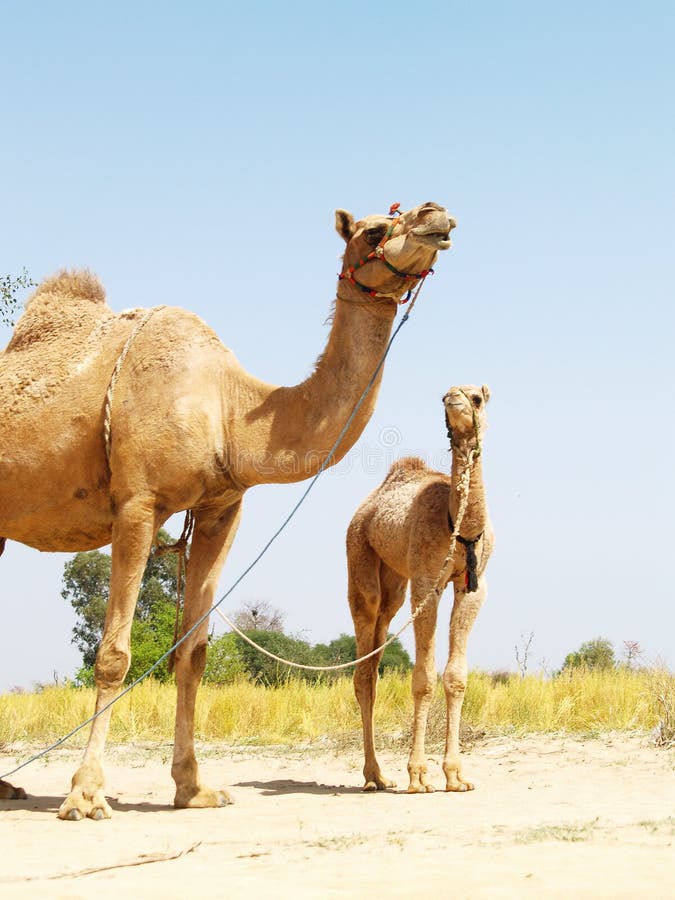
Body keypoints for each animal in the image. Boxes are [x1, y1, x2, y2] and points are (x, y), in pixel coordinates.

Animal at [0, 201, 455, 819]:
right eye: (374, 231)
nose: (438, 215)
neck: (228, 410)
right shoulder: (136, 504)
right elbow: (114, 654)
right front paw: (86, 794)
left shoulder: (221, 508)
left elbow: (192, 654)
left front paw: (193, 789)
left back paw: (6, 785)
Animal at [346, 384, 493, 793]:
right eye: (446, 396)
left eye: (477, 398)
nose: (454, 398)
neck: (460, 527)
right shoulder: (427, 584)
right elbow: (424, 679)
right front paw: (418, 775)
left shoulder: (473, 587)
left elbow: (456, 677)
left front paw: (456, 776)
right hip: (359, 559)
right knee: (363, 670)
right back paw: (374, 774)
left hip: (395, 584)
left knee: (375, 658)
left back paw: (379, 774)